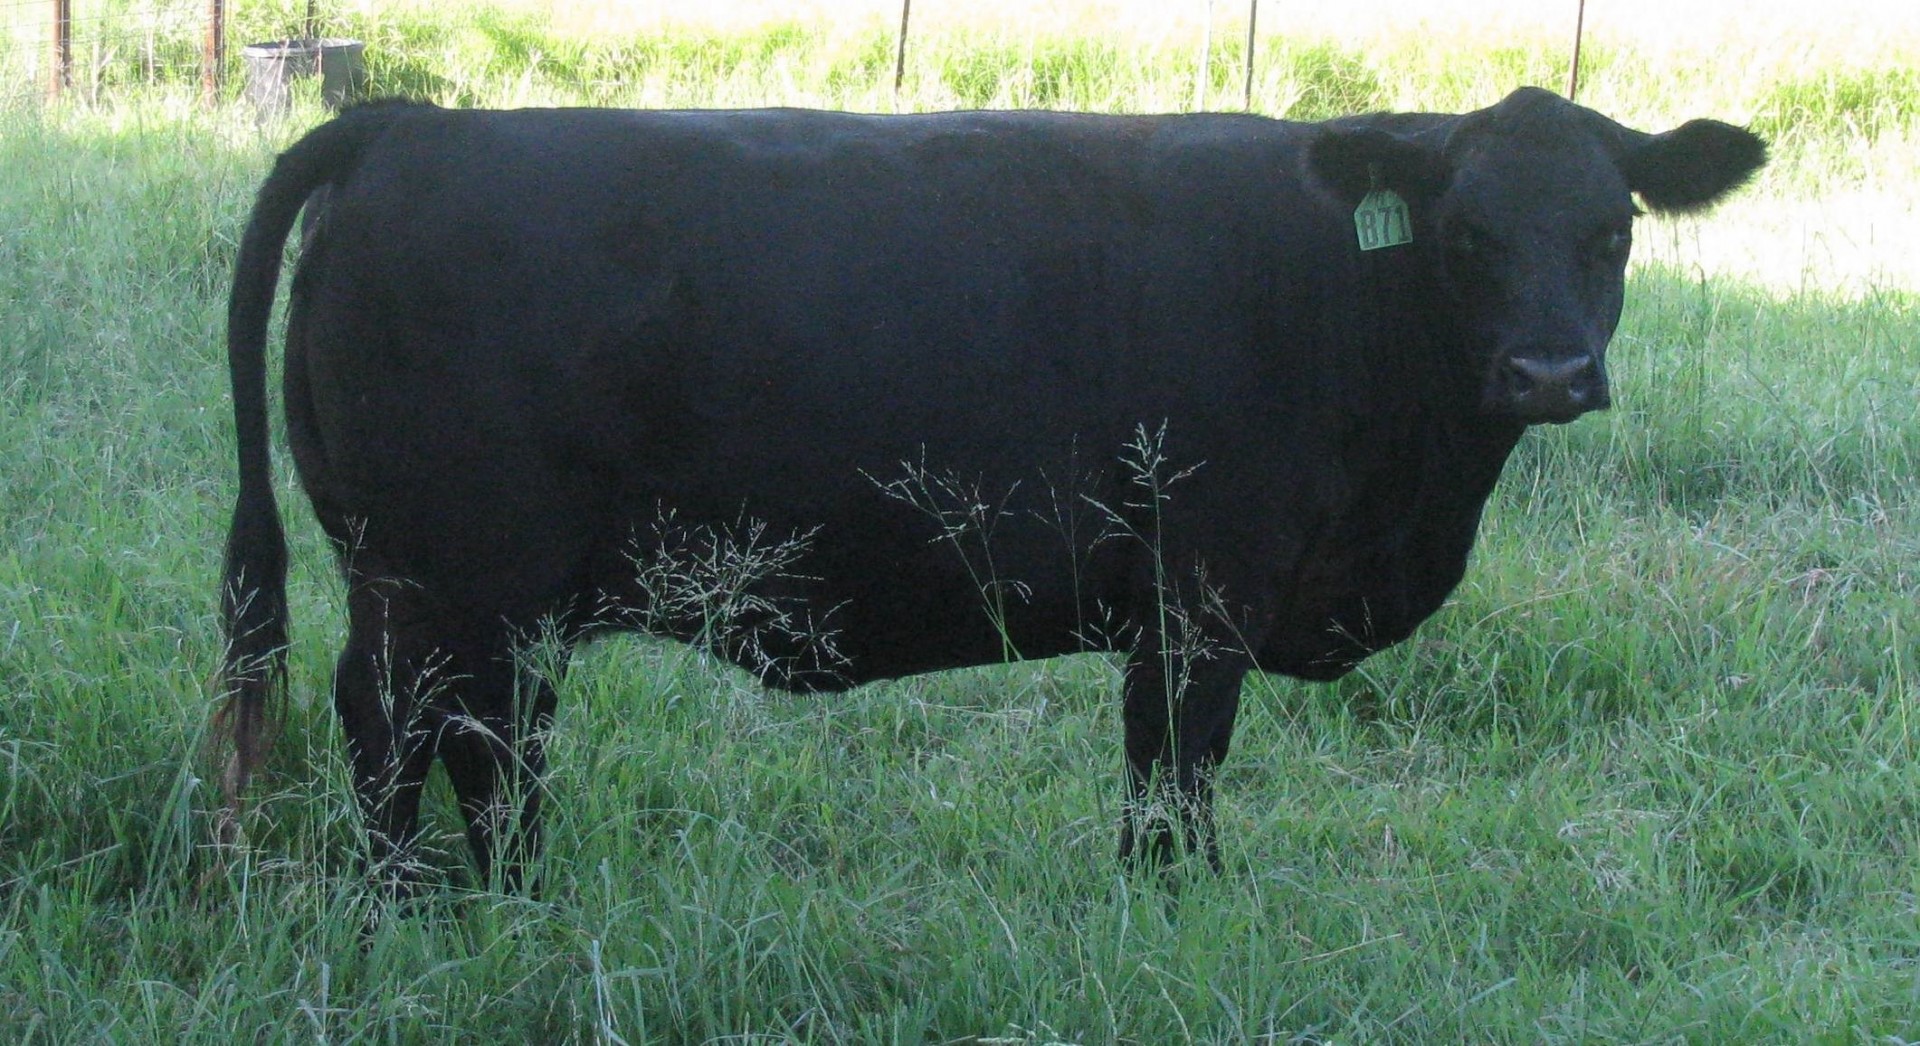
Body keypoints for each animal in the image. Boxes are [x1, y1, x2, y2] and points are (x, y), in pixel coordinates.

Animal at [217, 87, 1764, 889]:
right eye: (1465, 233)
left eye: (1614, 229)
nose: (1551, 370)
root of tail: (411, 118)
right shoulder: (1204, 585)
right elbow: (1179, 755)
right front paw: (1178, 896)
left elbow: (1160, 757)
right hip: (443, 574)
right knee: (407, 726)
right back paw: (417, 904)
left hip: (483, 588)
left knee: (489, 738)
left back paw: (505, 891)